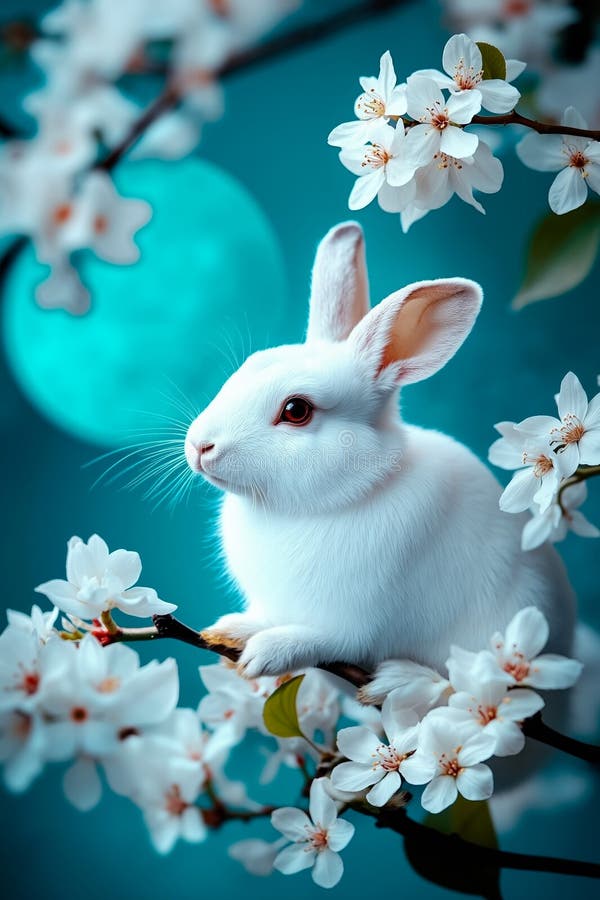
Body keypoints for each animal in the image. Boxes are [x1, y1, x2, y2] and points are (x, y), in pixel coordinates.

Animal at [185, 222, 576, 682]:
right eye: (246, 367)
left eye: (296, 410)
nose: (199, 446)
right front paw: (233, 629)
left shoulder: (355, 627)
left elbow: (324, 641)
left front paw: (266, 654)